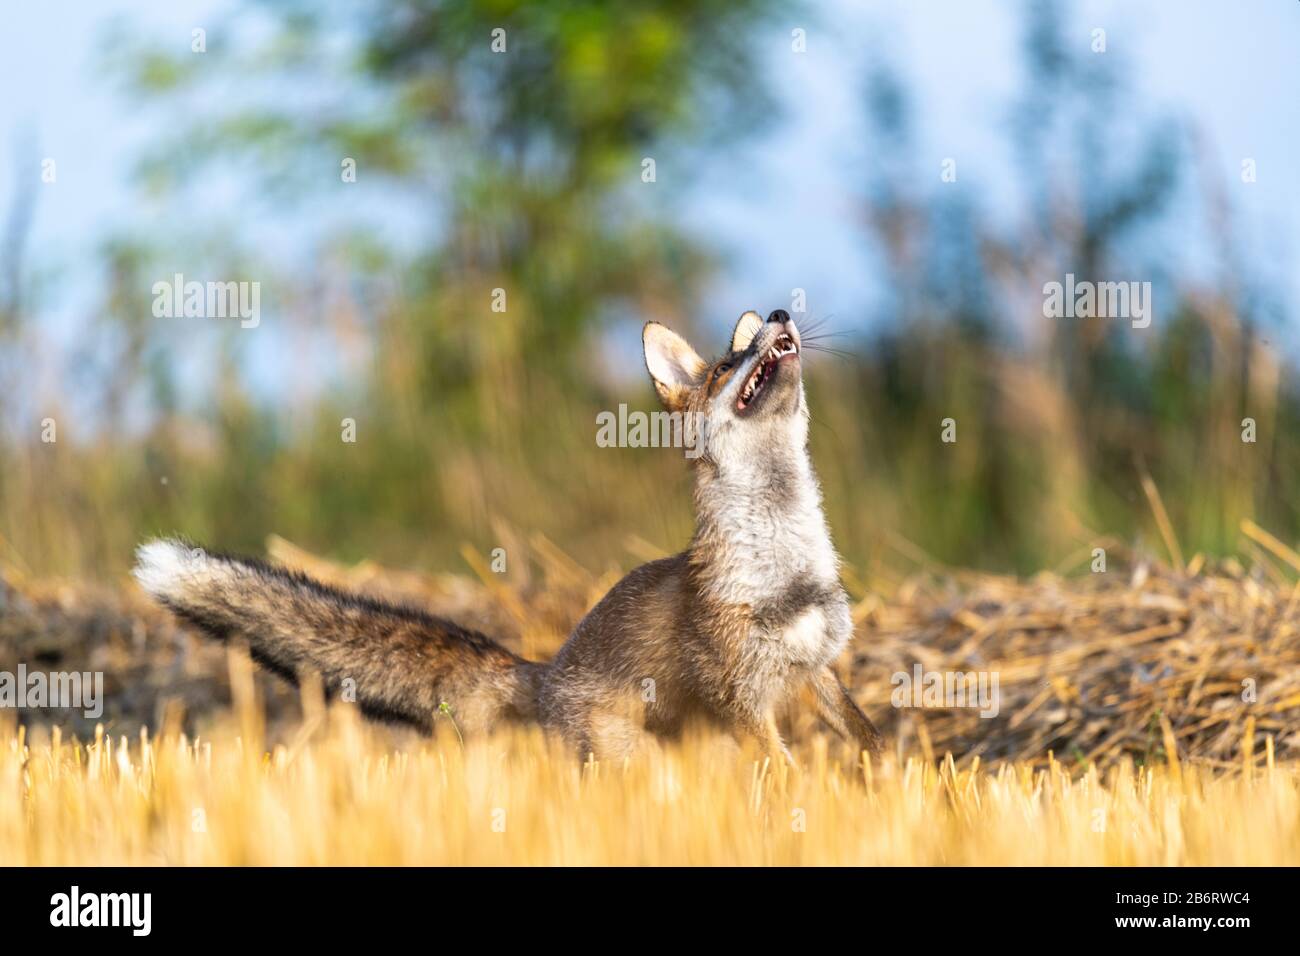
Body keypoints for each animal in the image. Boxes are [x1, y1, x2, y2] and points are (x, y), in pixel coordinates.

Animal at [133, 308, 884, 764]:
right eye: (730, 364)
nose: (781, 314)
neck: (786, 567)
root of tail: (542, 673)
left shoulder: (815, 668)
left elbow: (865, 735)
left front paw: (882, 783)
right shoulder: (741, 698)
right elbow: (784, 773)